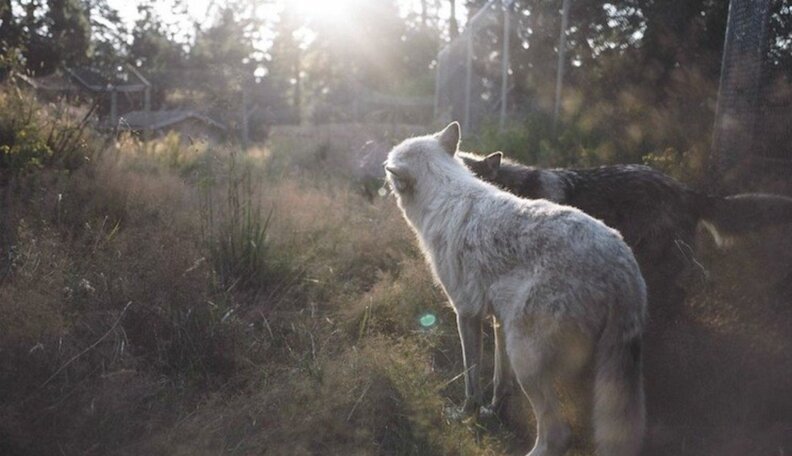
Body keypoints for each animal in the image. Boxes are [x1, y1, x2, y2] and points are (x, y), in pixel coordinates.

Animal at [386, 123, 648, 456]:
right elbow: (500, 381)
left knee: (558, 434)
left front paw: (466, 415)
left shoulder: (466, 314)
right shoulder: (499, 321)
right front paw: (494, 412)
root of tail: (622, 265)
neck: (444, 192)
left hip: (526, 356)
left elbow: (472, 381)